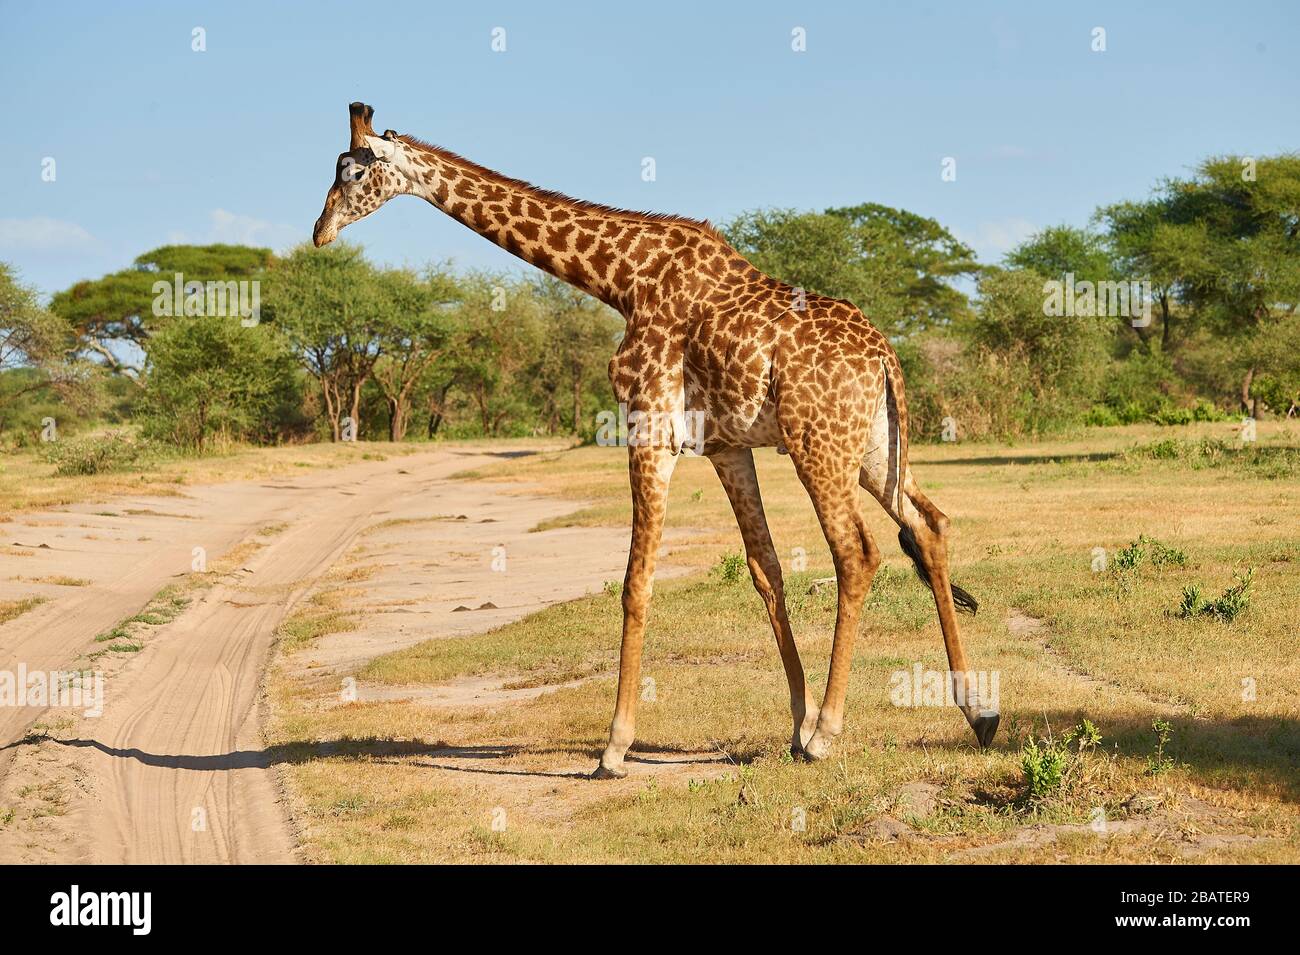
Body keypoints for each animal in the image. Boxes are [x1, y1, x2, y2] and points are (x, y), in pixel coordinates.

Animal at [313, 103, 999, 778]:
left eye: (351, 170)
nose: (320, 231)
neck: (621, 279)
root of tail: (885, 356)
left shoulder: (648, 429)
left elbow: (635, 582)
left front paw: (615, 747)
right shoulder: (726, 446)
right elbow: (766, 570)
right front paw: (795, 723)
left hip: (819, 444)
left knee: (857, 552)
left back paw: (831, 734)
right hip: (874, 447)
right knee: (930, 524)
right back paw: (978, 714)